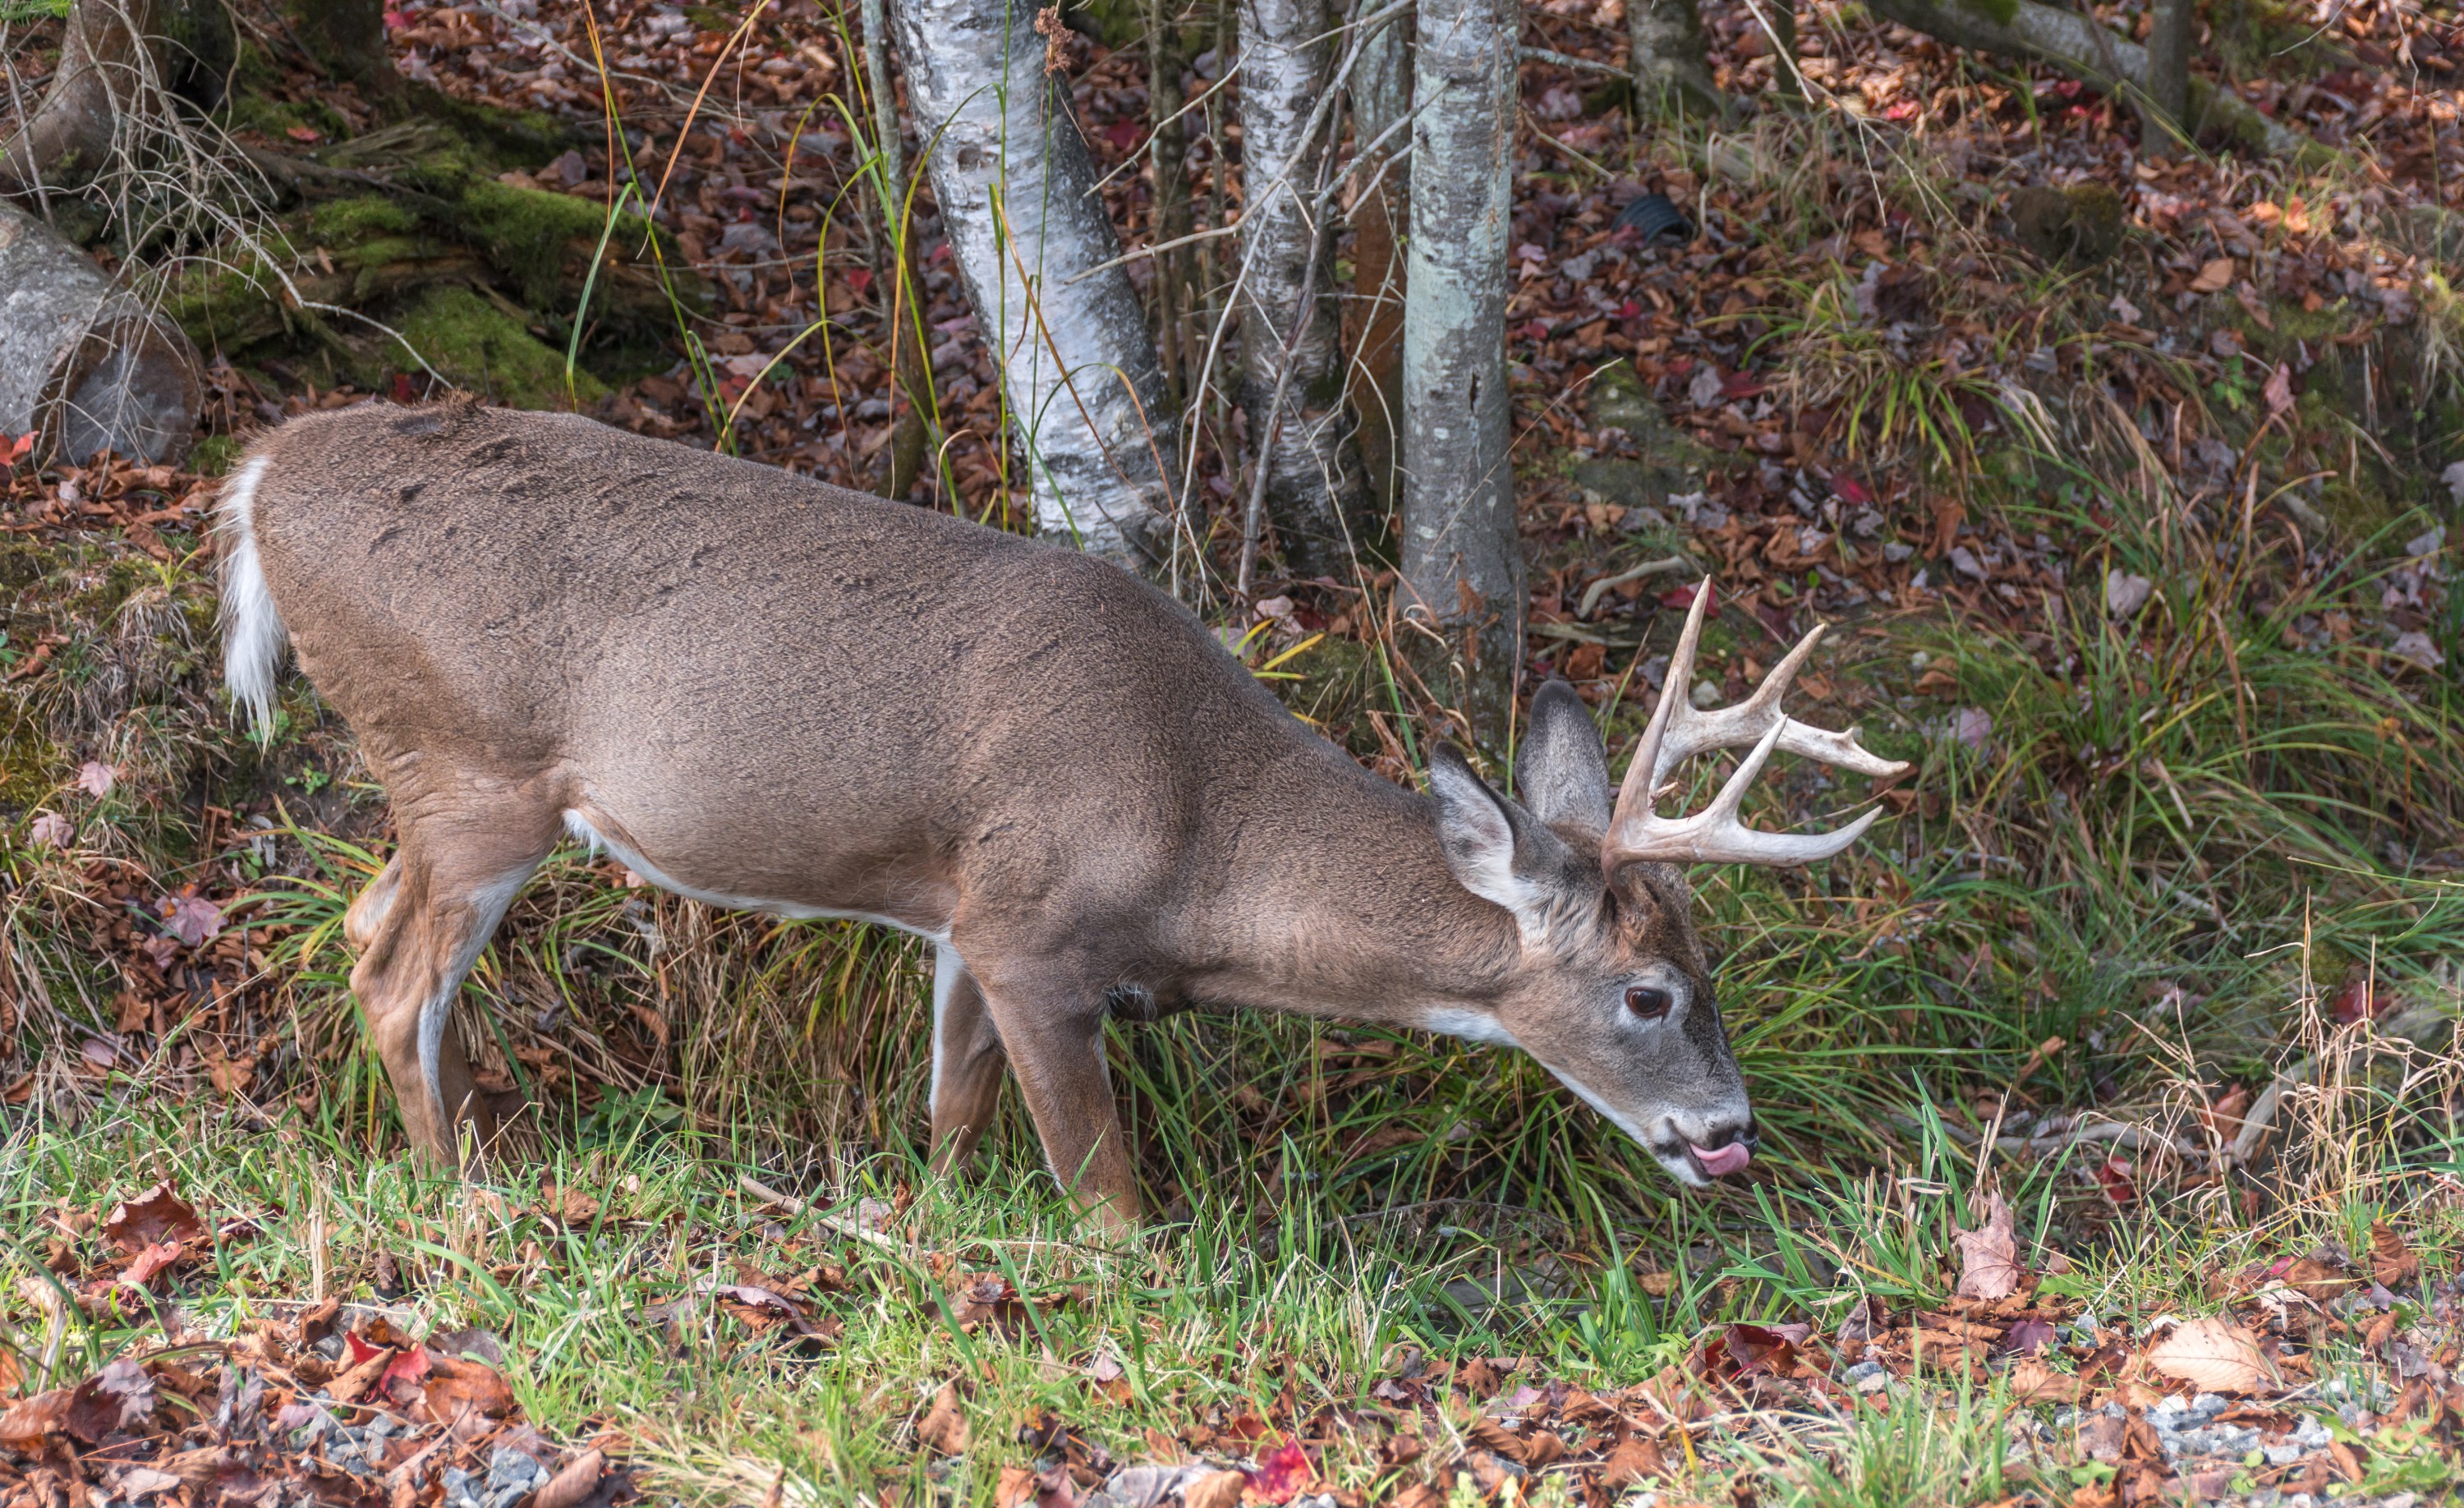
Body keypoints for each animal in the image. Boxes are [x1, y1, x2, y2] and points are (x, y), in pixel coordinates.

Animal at [217, 401, 1908, 1229]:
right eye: (1651, 992)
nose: (1731, 1133)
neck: (1201, 835)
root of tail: (259, 472)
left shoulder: (963, 916)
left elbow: (951, 1121)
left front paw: (938, 1234)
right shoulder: (1034, 935)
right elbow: (1107, 1198)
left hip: (437, 786)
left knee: (362, 927)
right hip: (472, 766)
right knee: (393, 974)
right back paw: (465, 1193)